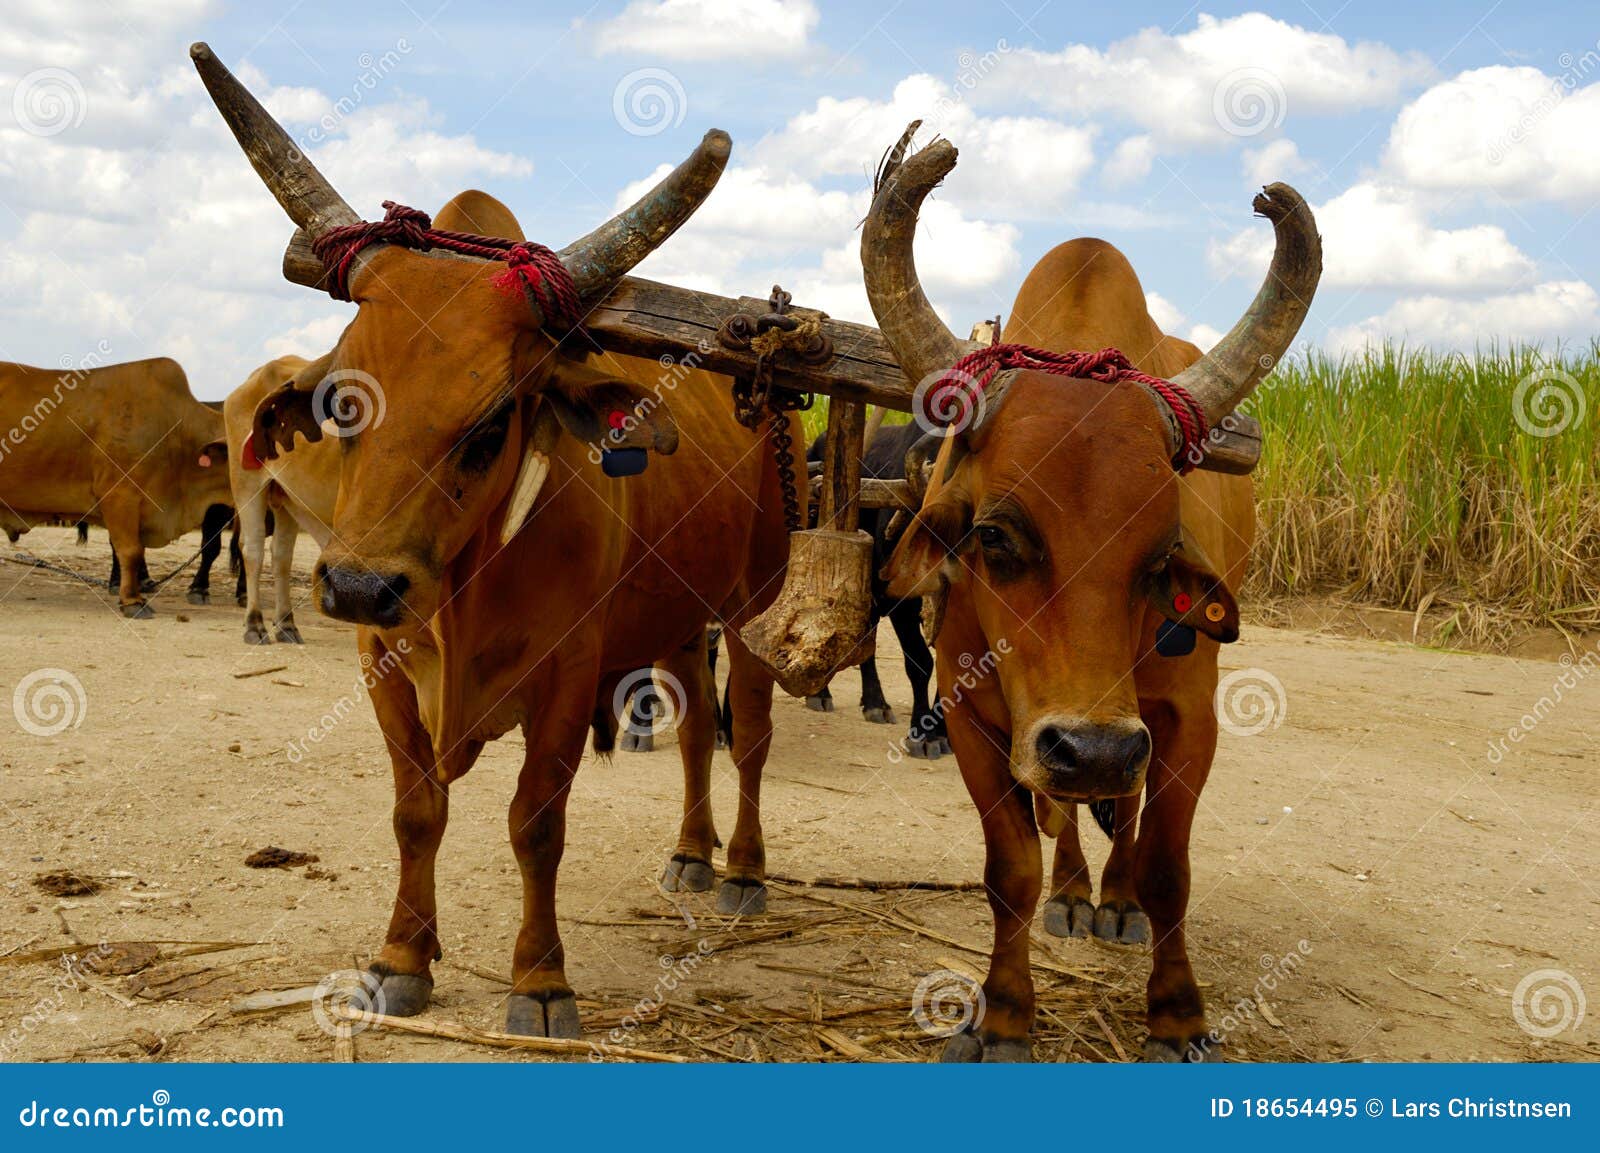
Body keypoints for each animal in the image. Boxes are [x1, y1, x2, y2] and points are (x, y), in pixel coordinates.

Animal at [223, 354, 340, 644]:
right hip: (247, 486)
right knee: (253, 550)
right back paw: (254, 624)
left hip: (288, 499)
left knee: (281, 557)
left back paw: (287, 624)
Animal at [862, 130, 1320, 1062]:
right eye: (993, 536)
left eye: (1160, 554)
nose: (1096, 749)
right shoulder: (976, 714)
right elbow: (1011, 866)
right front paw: (1005, 1012)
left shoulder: (1183, 716)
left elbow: (1169, 864)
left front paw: (1177, 1010)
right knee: (1061, 813)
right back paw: (1076, 890)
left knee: (1130, 817)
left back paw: (1114, 899)